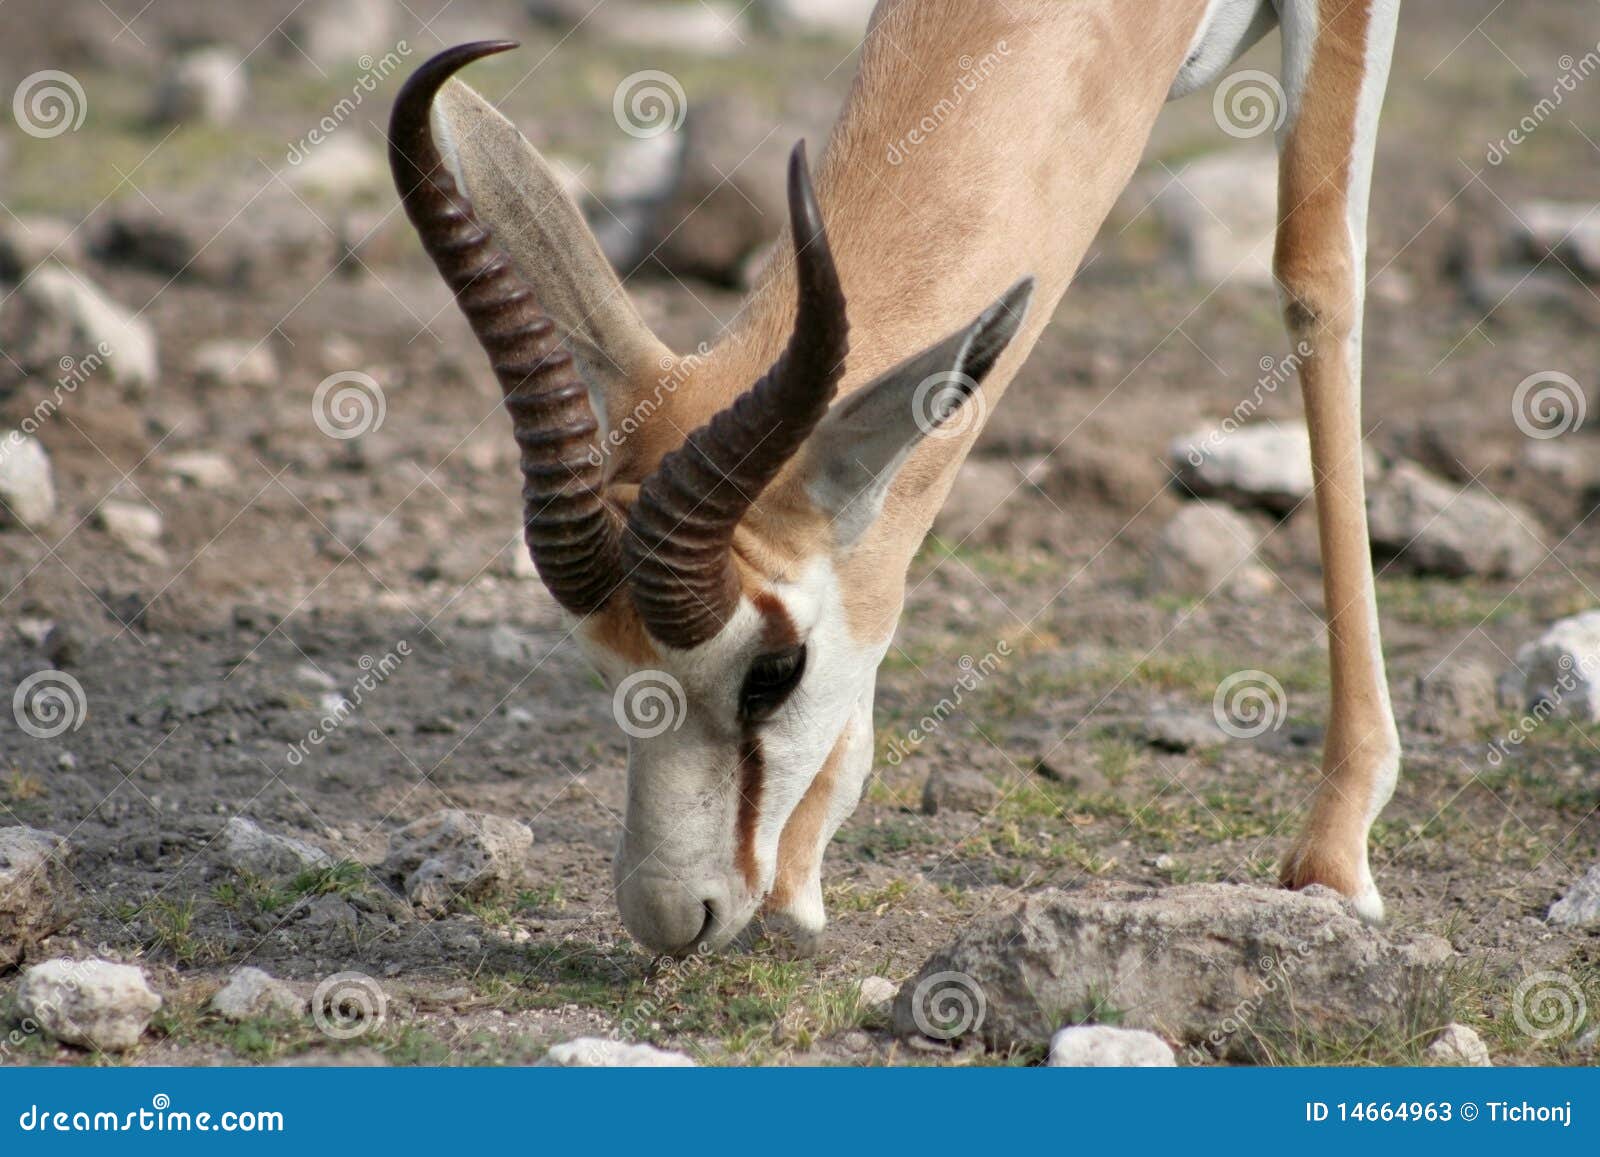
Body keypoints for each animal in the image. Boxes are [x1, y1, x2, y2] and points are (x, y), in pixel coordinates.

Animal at [388, 0, 1402, 956]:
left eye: (772, 673)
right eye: (604, 667)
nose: (671, 915)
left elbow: (1316, 273)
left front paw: (1333, 858)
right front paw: (799, 880)